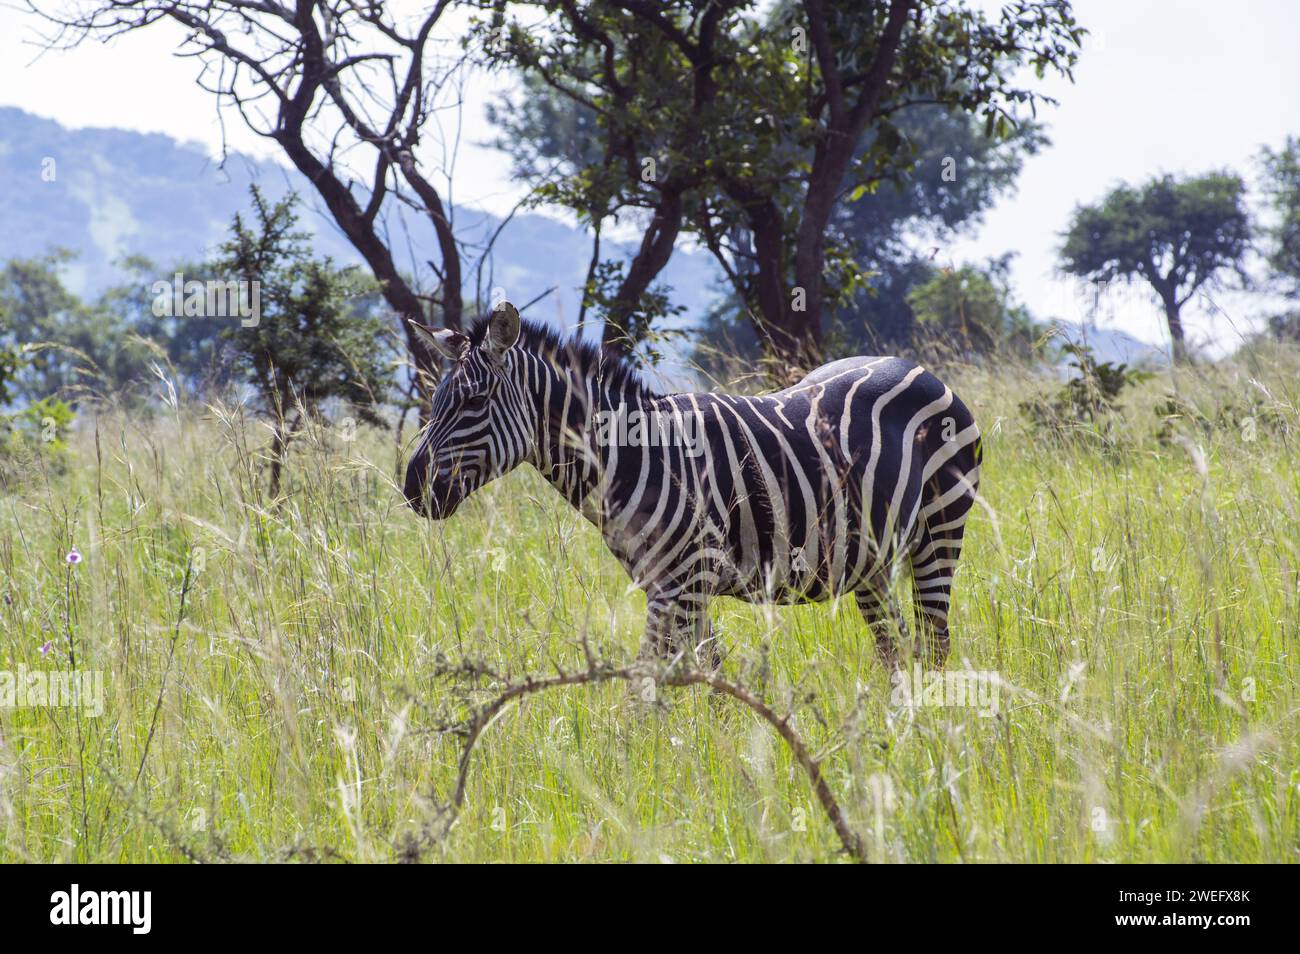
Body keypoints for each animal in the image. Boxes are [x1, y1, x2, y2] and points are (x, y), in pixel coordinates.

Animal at [404, 301, 982, 671]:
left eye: (474, 401)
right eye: (435, 400)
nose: (411, 487)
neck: (633, 456)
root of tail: (914, 365)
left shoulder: (683, 582)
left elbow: (645, 687)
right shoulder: (672, 583)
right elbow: (709, 675)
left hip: (939, 532)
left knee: (933, 644)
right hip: (869, 558)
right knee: (896, 649)